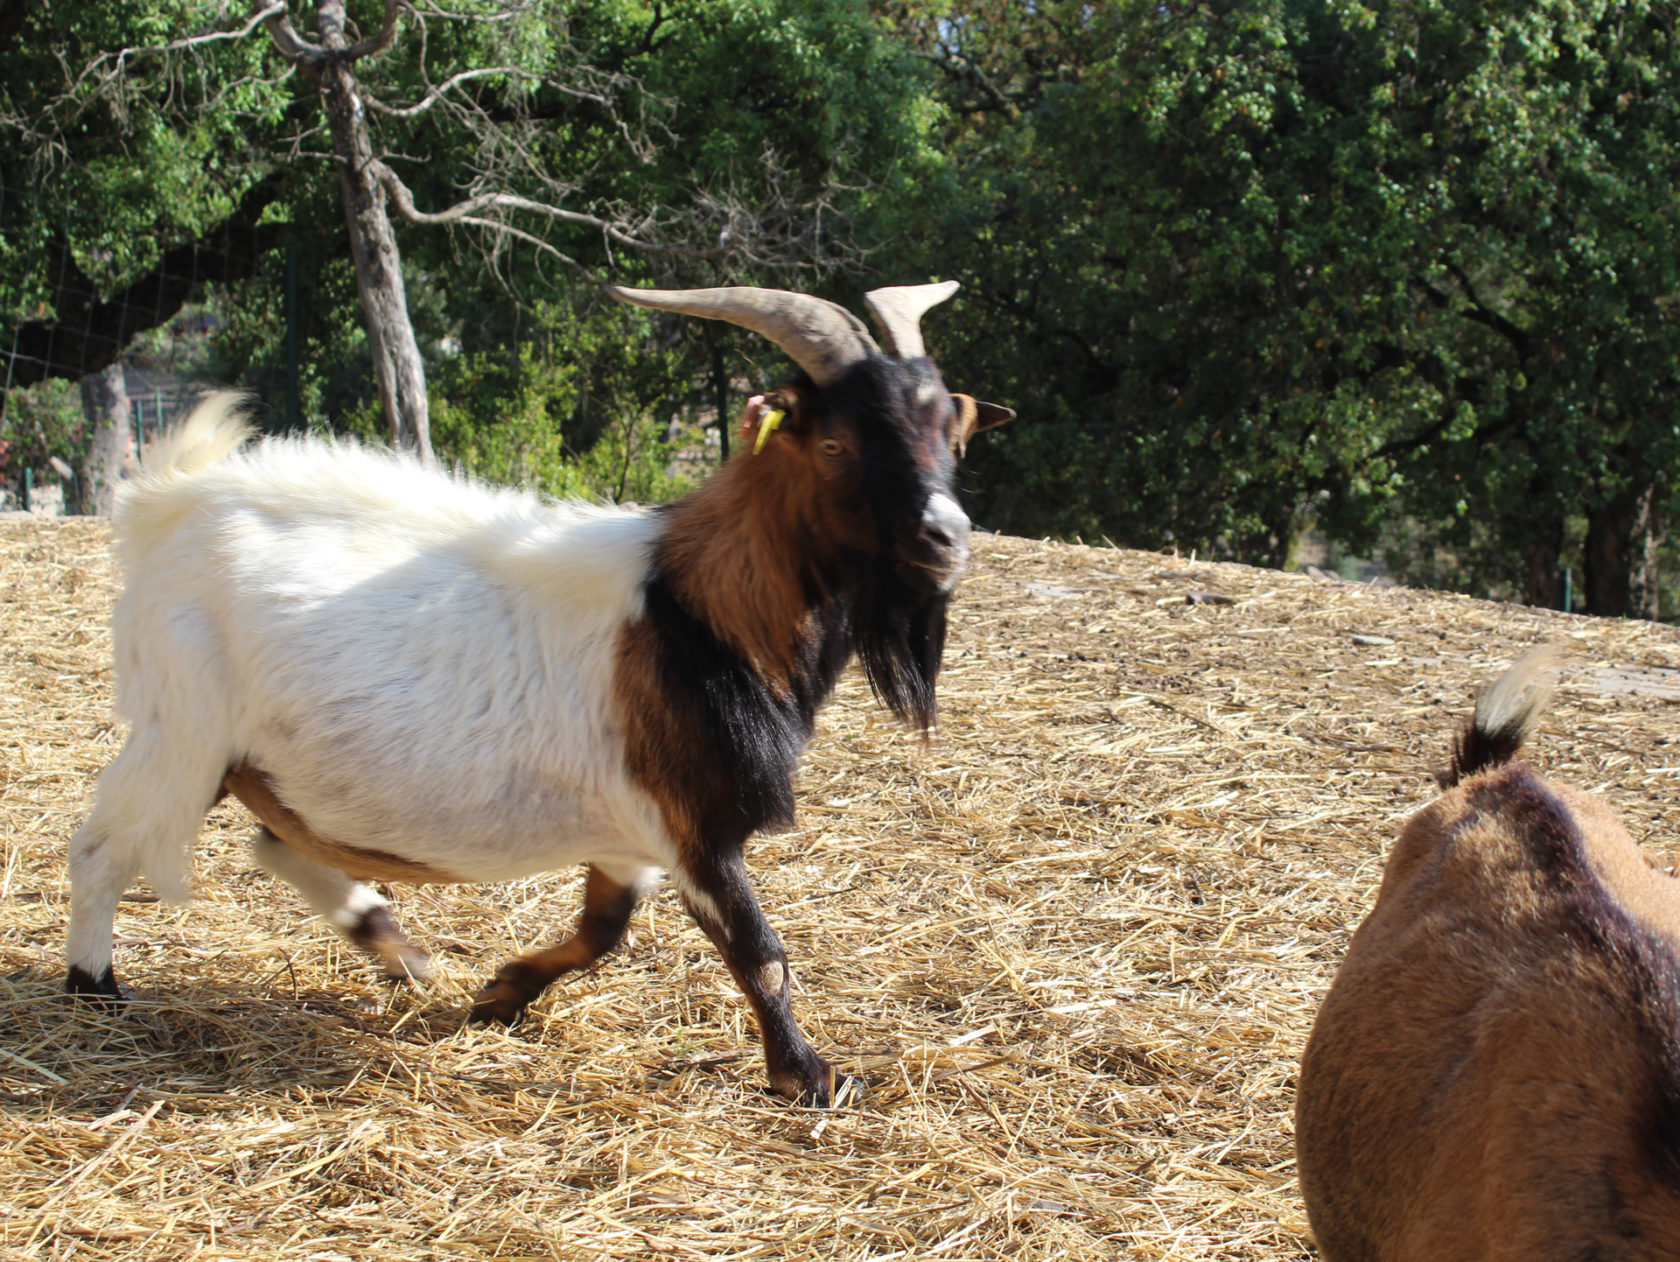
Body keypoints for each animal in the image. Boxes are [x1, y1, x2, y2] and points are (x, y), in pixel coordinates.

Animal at [65, 282, 1013, 1106]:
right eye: (836, 445)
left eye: (949, 433)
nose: (947, 538)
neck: (699, 608)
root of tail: (165, 504)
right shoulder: (691, 821)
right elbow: (758, 950)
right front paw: (809, 1076)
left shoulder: (632, 831)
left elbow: (603, 933)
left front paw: (499, 993)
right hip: (181, 732)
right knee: (102, 848)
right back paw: (93, 985)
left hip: (262, 760)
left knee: (275, 841)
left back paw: (395, 946)